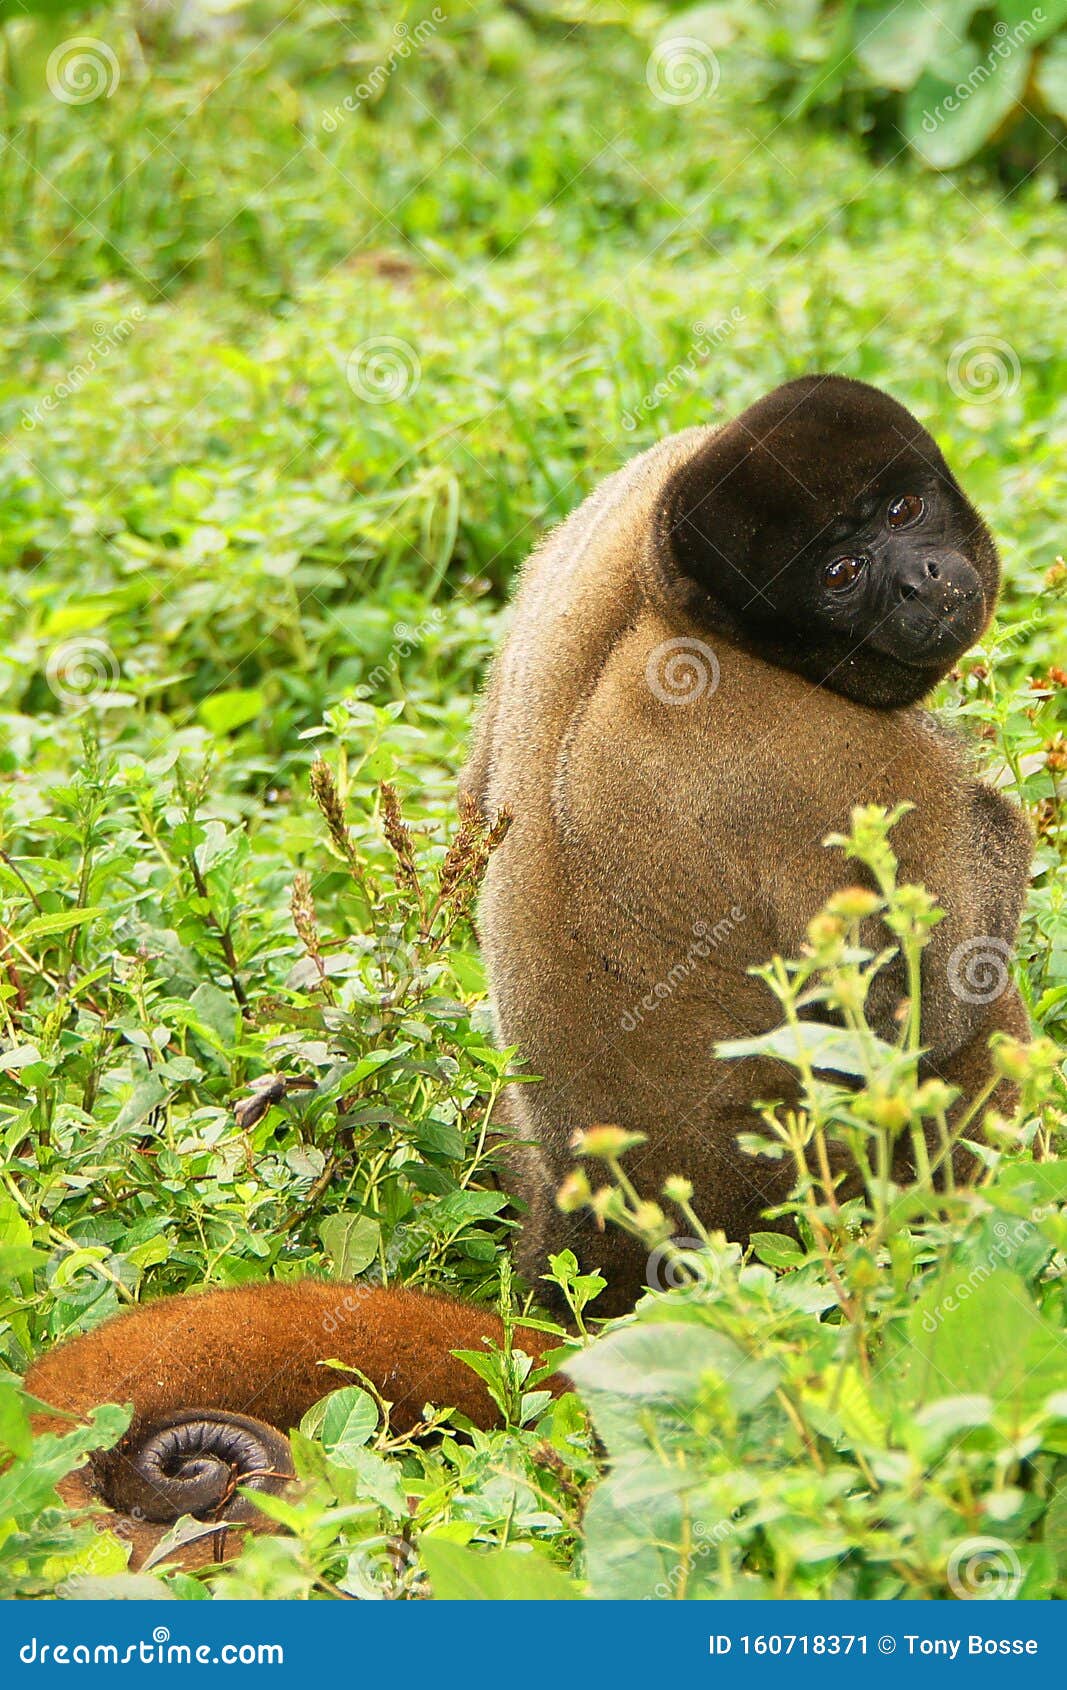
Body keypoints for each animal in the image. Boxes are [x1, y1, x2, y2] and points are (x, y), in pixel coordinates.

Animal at [462, 373, 1031, 1316]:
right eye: (840, 575)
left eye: (904, 509)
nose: (916, 582)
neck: (672, 595)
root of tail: (584, 1240)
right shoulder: (836, 756)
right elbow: (929, 1000)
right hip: (809, 1215)